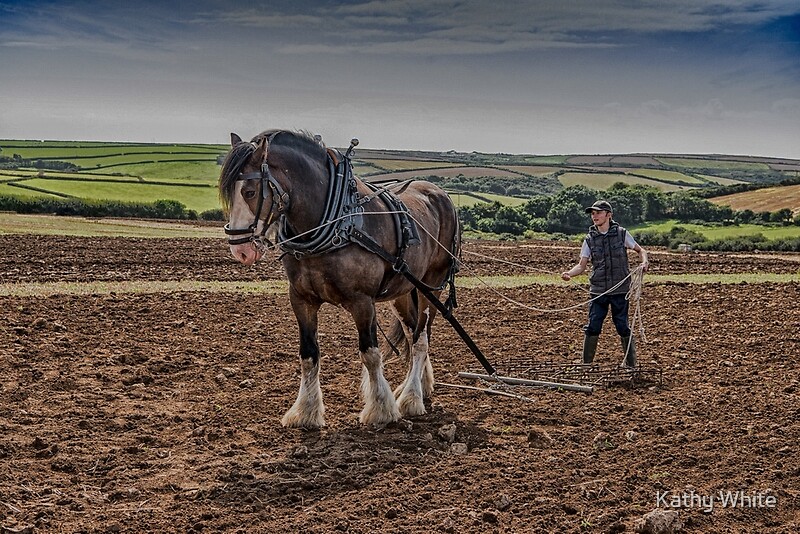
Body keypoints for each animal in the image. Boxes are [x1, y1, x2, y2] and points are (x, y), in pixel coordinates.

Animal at [219, 129, 461, 428]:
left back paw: (411, 398)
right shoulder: (301, 299)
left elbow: (370, 354)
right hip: (404, 290)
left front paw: (381, 409)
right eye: (229, 193)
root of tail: (440, 194)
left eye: (249, 192)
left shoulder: (362, 301)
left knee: (420, 340)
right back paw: (418, 386)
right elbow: (308, 354)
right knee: (413, 331)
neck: (335, 222)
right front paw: (305, 411)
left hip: (431, 285)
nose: (239, 250)